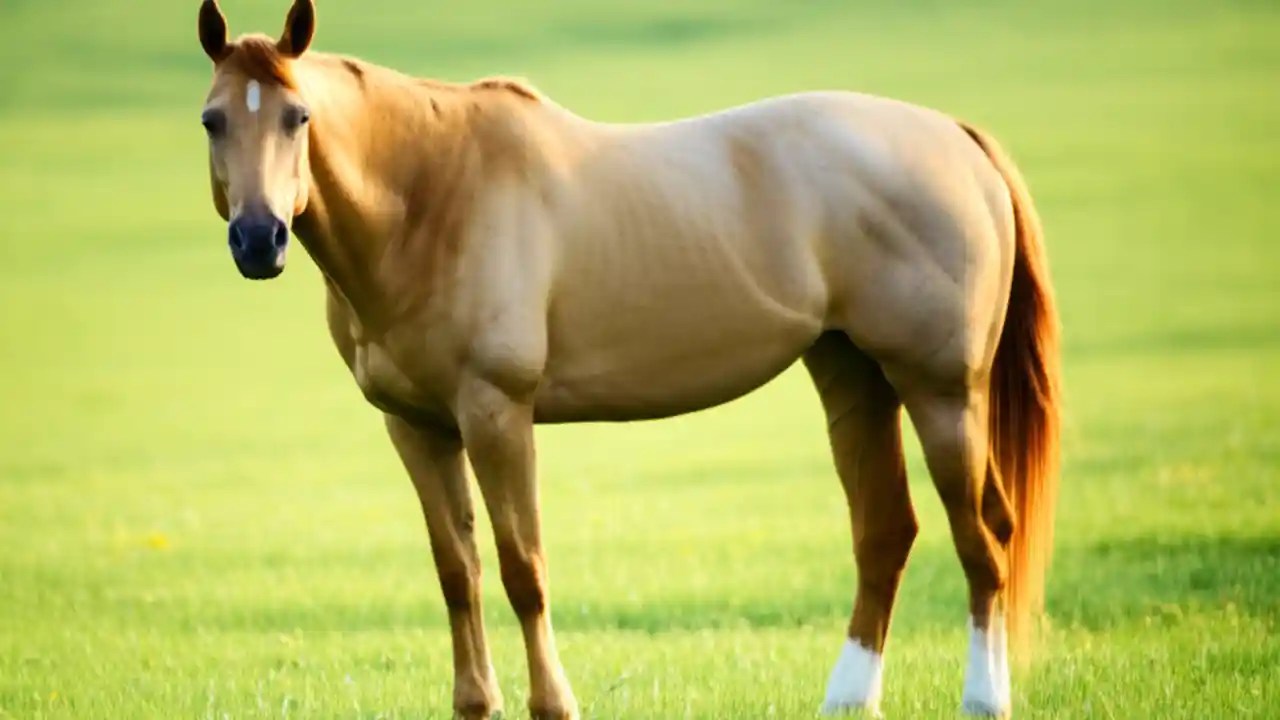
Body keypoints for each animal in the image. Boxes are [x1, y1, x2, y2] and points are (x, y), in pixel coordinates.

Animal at [194, 1, 1061, 717]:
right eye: (211, 120)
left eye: (299, 116)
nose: (258, 240)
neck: (432, 196)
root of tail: (954, 138)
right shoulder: (415, 427)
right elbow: (456, 572)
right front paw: (475, 705)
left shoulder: (496, 414)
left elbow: (522, 568)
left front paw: (554, 704)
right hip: (853, 376)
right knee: (886, 531)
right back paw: (848, 700)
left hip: (941, 391)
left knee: (983, 535)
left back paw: (984, 700)